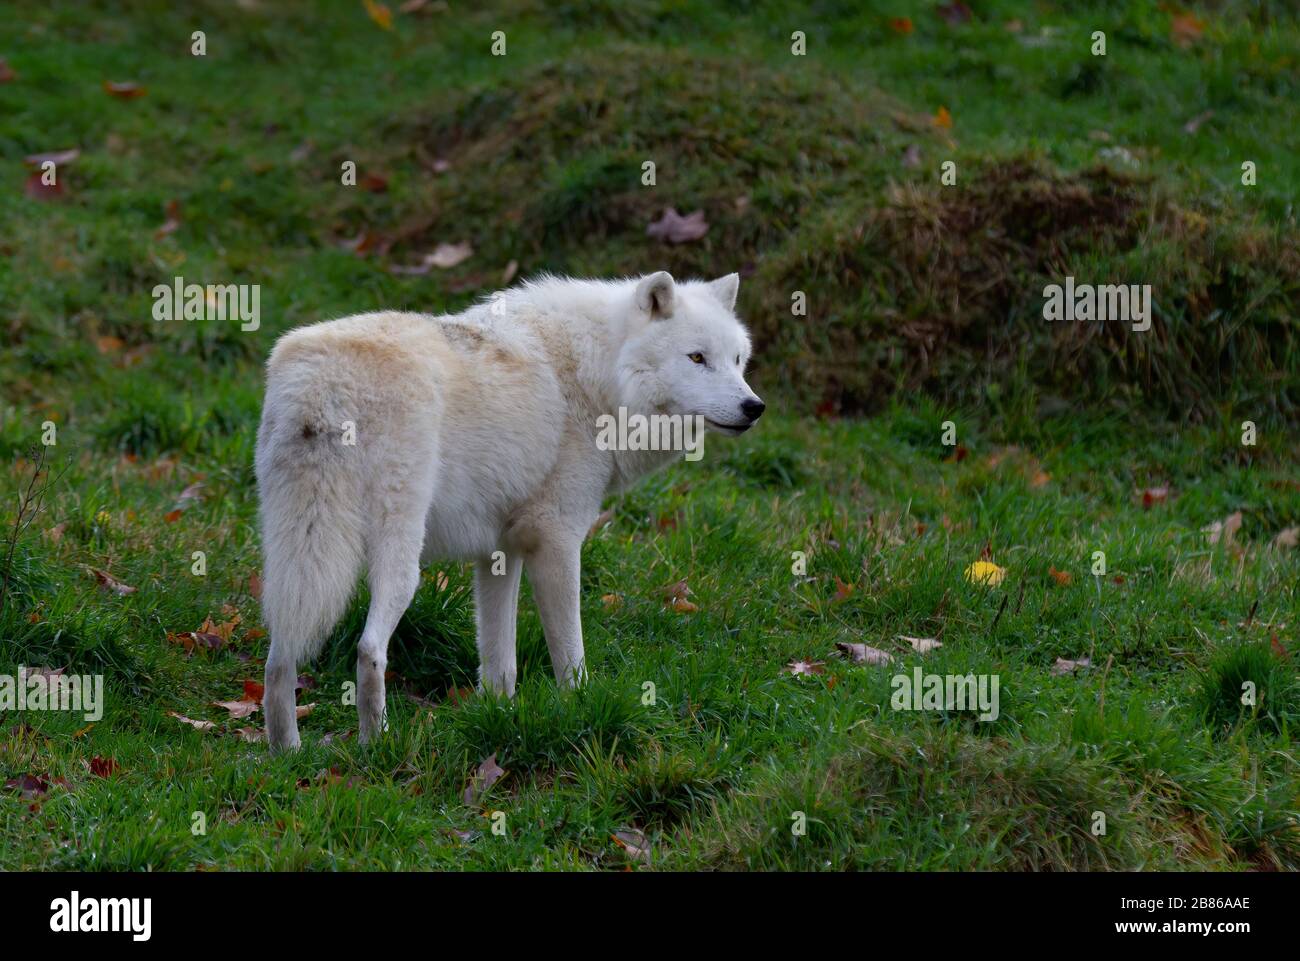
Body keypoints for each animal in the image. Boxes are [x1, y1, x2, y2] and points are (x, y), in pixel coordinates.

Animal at [255, 271, 765, 749]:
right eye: (697, 358)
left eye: (738, 360)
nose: (753, 406)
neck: (596, 374)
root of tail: (326, 381)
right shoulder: (555, 540)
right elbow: (570, 655)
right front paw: (579, 709)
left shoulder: (499, 552)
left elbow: (500, 664)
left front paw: (496, 718)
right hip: (399, 561)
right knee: (367, 648)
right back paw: (376, 744)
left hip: (292, 559)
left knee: (280, 659)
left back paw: (288, 753)